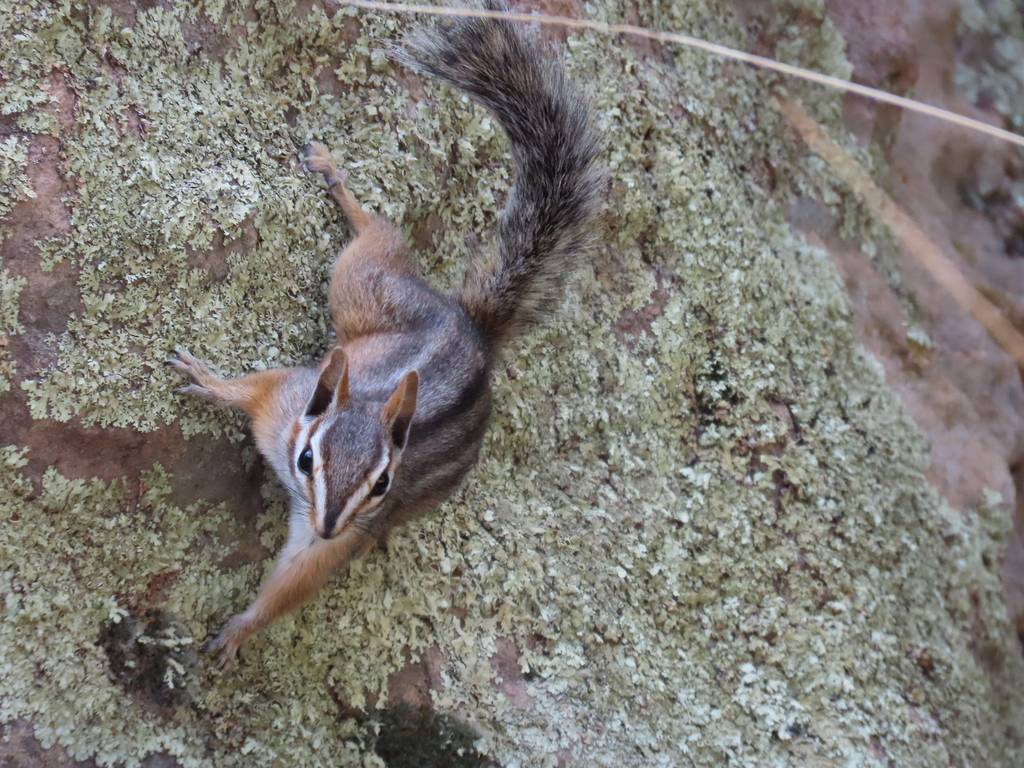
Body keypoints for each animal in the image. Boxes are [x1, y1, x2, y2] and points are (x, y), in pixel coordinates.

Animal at [171, 1, 603, 663]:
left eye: (383, 485)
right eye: (305, 458)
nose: (328, 524)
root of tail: (472, 331)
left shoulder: (335, 536)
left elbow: (294, 583)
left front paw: (238, 633)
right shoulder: (286, 399)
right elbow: (252, 388)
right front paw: (209, 380)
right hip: (364, 290)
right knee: (377, 235)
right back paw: (336, 178)